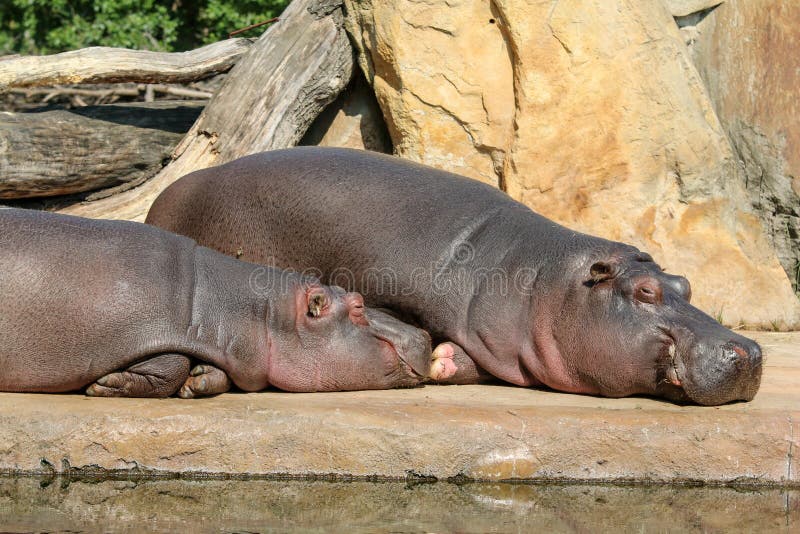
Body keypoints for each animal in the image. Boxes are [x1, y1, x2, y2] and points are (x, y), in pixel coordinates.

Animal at [146, 147, 763, 405]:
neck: (542, 281)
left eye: (686, 285)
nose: (750, 350)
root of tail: (165, 196)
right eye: (646, 292)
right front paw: (439, 359)